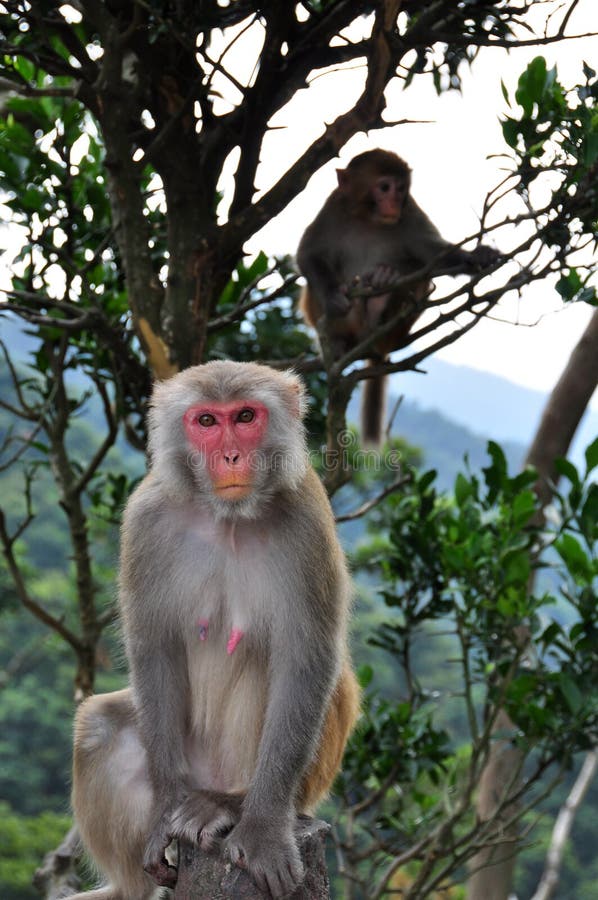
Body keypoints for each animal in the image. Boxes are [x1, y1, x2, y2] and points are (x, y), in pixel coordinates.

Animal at [70, 360, 360, 900]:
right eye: (206, 420)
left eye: (245, 416)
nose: (230, 456)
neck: (229, 518)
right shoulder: (145, 519)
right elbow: (154, 649)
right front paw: (163, 816)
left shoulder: (307, 519)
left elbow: (306, 661)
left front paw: (262, 827)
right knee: (100, 725)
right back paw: (129, 885)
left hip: (301, 781)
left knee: (278, 665)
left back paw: (230, 803)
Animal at [296, 148, 501, 445]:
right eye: (384, 187)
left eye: (401, 188)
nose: (393, 203)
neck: (369, 219)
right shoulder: (332, 209)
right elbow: (308, 254)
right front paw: (334, 297)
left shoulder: (411, 212)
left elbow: (434, 255)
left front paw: (477, 256)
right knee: (315, 288)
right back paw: (339, 340)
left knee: (419, 275)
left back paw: (378, 304)